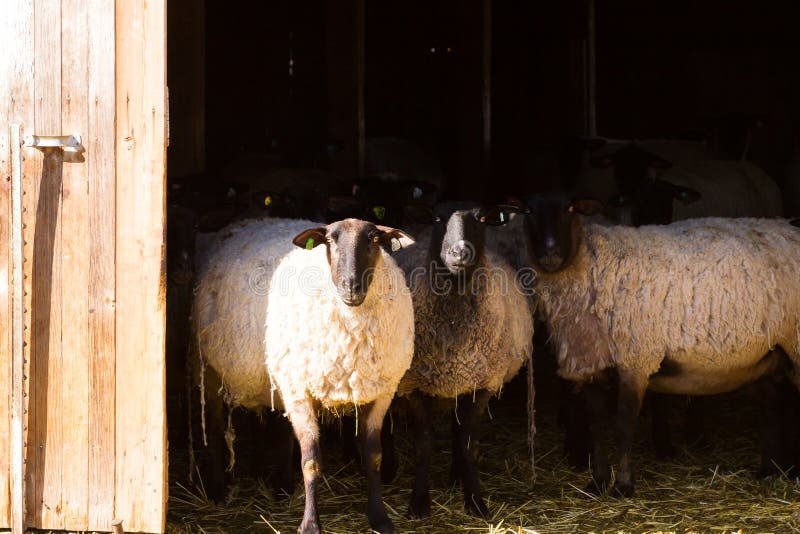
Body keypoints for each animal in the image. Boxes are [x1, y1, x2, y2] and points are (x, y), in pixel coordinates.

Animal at [192, 216, 415, 534]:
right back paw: (218, 490)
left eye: (374, 239)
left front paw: (379, 518)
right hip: (210, 369)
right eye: (330, 240)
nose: (351, 286)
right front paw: (310, 524)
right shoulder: (299, 391)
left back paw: (278, 483)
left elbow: (373, 456)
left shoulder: (381, 391)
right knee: (213, 427)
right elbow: (310, 462)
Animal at [393, 203, 534, 518]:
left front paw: (475, 501)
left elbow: (468, 443)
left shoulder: (482, 385)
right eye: (436, 217)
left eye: (480, 218)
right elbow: (424, 444)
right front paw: (418, 503)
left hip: (463, 384)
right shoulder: (413, 386)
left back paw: (457, 473)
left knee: (459, 432)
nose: (460, 253)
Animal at [520, 193, 800, 496]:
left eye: (569, 208)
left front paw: (623, 486)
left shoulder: (635, 360)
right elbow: (596, 423)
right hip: (766, 356)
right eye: (527, 210)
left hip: (793, 343)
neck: (593, 262)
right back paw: (768, 470)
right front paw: (598, 482)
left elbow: (624, 424)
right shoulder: (592, 364)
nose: (550, 253)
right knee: (771, 405)